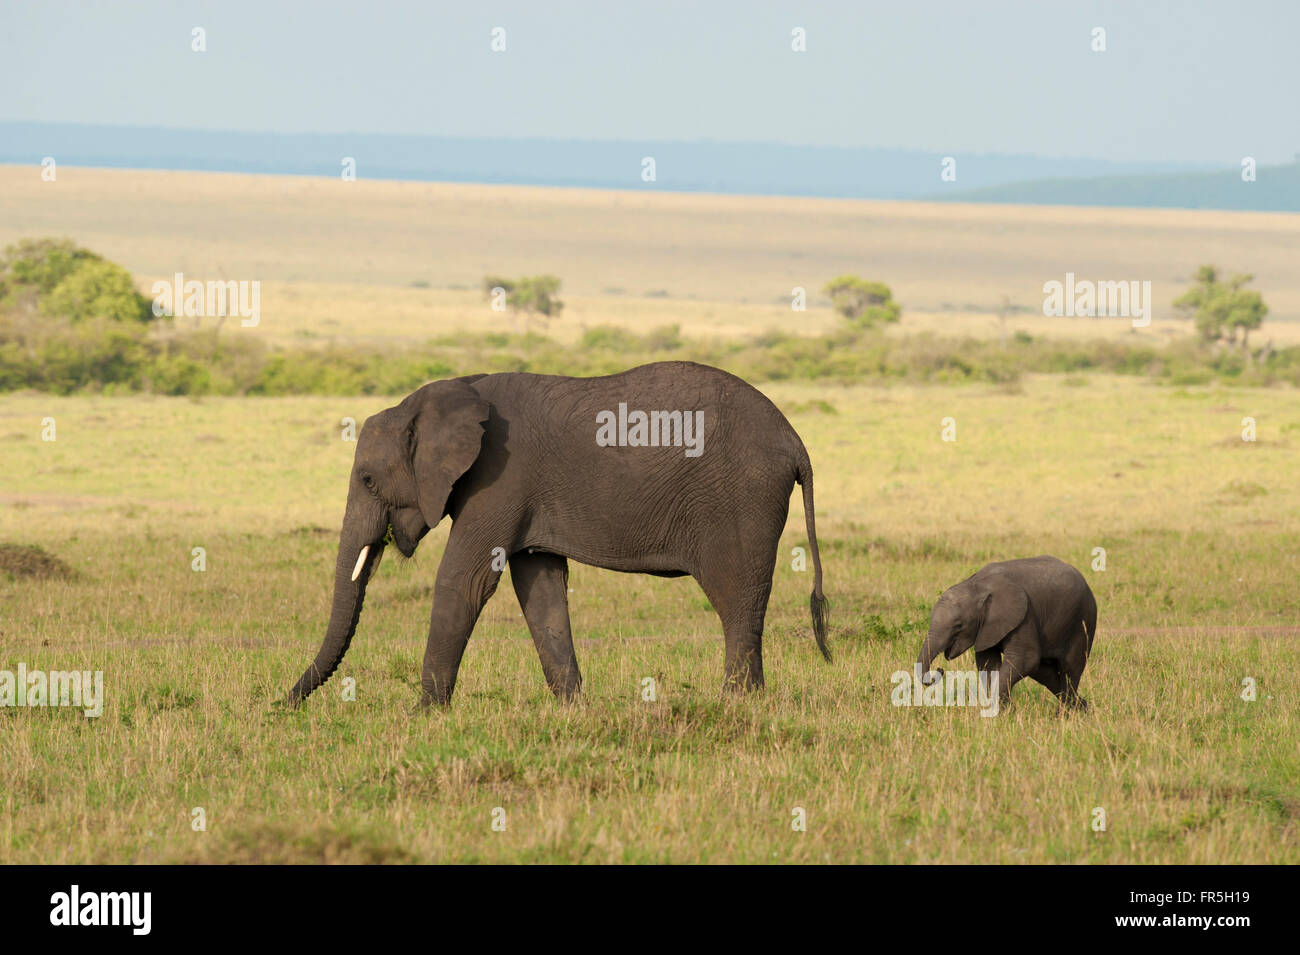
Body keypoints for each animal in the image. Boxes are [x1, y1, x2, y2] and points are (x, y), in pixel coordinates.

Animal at [287, 361, 829, 708]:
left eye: (368, 480)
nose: (284, 706)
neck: (442, 394)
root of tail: (797, 442)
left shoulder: (499, 476)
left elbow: (465, 581)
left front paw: (424, 715)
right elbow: (539, 586)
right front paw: (572, 710)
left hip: (742, 498)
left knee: (736, 599)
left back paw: (736, 706)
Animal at [916, 556, 1096, 710]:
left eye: (958, 626)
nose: (939, 670)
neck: (977, 585)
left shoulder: (1025, 616)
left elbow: (1025, 660)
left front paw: (1002, 712)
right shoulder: (986, 627)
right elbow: (988, 664)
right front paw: (1006, 712)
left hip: (1082, 621)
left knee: (1070, 669)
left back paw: (1065, 715)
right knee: (1044, 672)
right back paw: (1083, 708)